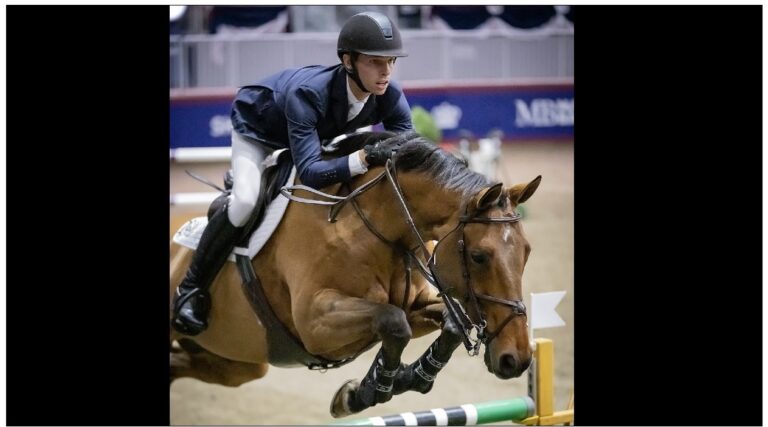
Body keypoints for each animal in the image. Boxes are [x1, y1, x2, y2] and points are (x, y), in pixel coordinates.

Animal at [169, 131, 542, 418]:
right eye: (479, 256)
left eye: (527, 253)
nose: (517, 359)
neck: (379, 229)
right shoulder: (315, 323)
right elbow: (393, 322)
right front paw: (367, 391)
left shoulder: (416, 303)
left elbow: (447, 323)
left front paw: (399, 380)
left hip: (238, 362)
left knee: (180, 365)